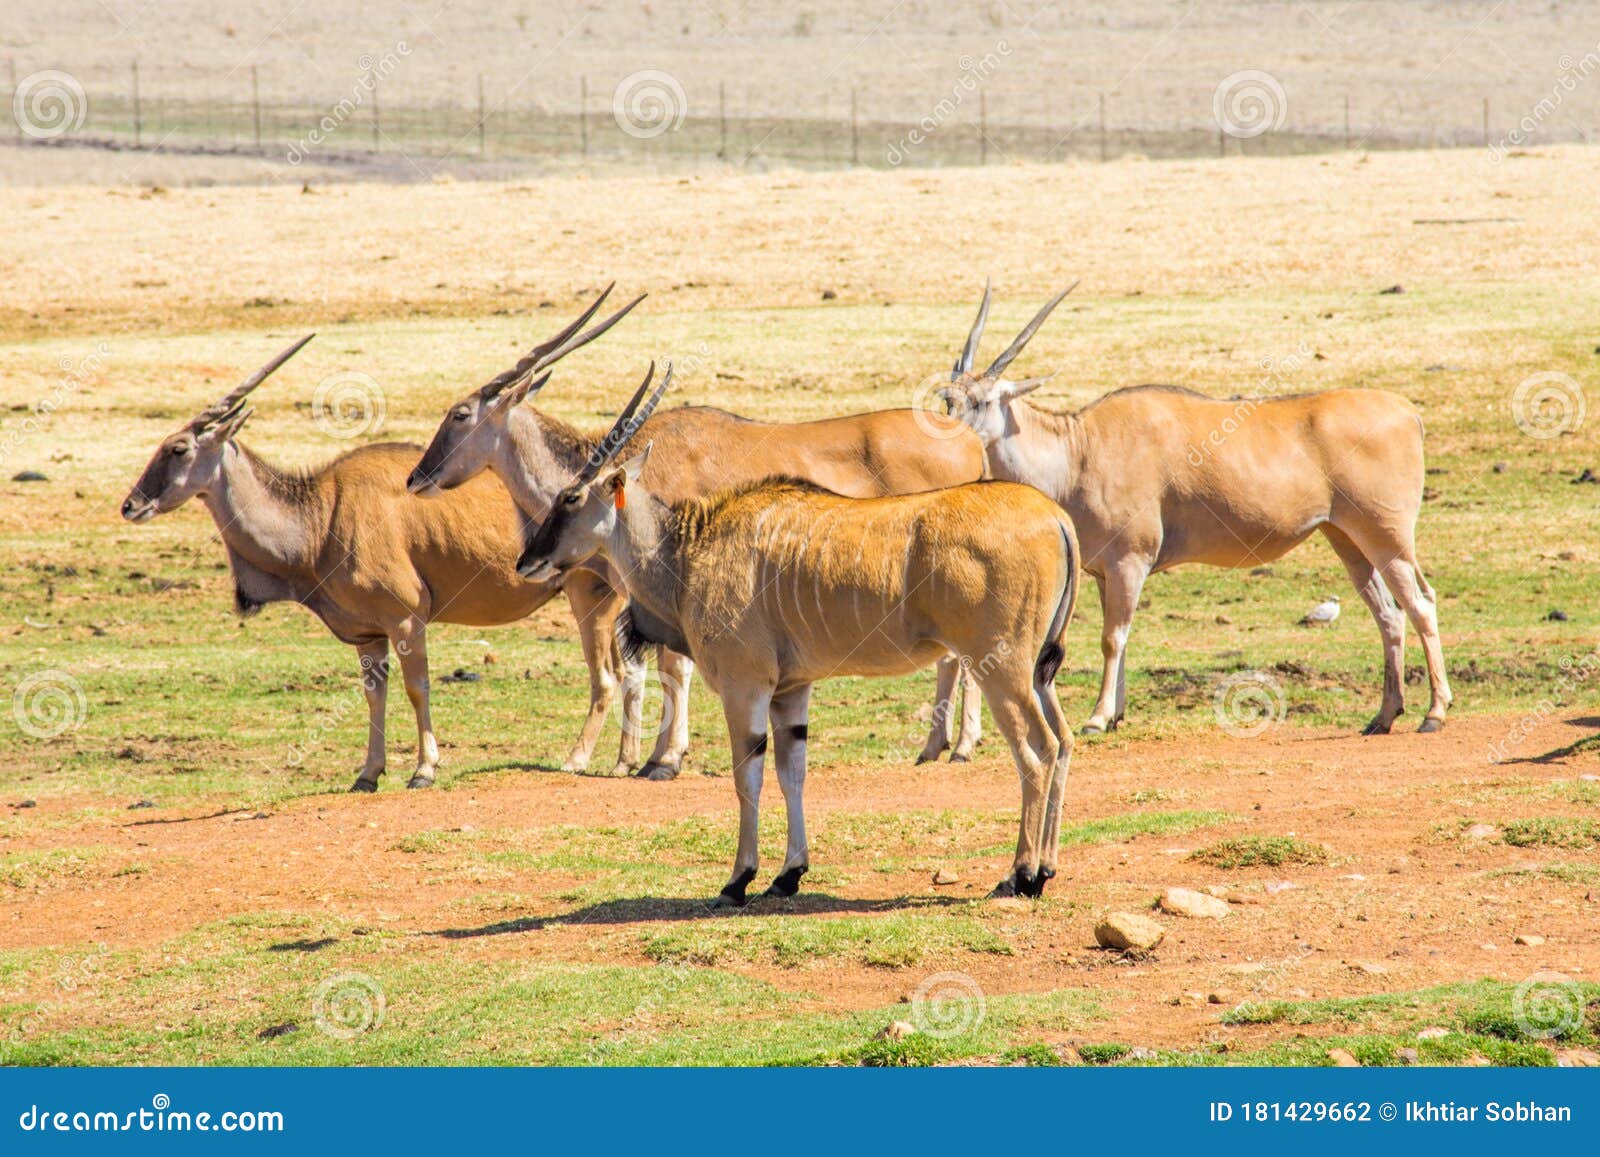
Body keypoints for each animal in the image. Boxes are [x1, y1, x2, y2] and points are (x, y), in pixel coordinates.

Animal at [119, 299, 644, 791]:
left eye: (178, 449)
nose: (131, 504)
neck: (323, 516)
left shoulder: (406, 620)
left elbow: (417, 687)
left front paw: (424, 769)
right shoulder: (368, 634)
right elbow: (375, 693)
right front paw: (368, 772)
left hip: (590, 601)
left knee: (609, 676)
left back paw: (581, 760)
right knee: (631, 673)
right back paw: (625, 761)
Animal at [406, 293, 989, 778]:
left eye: (460, 414)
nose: (416, 478)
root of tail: (968, 440)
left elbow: (672, 666)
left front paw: (661, 759)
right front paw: (643, 757)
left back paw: (959, 746)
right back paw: (935, 746)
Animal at [517, 364, 1081, 905]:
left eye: (571, 497)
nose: (526, 561)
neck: (689, 548)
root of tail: (1054, 515)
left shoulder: (746, 686)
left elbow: (747, 777)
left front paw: (738, 880)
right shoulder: (791, 691)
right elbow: (794, 774)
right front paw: (788, 874)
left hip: (1000, 668)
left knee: (1037, 750)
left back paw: (1020, 876)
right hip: (1037, 674)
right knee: (1064, 740)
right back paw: (1048, 867)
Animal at [938, 284, 1451, 736]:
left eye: (982, 400)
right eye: (949, 399)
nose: (949, 438)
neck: (1078, 450)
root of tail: (1408, 413)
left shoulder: (1129, 562)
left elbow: (1112, 638)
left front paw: (1098, 718)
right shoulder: (1107, 573)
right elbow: (1121, 638)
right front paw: (1117, 714)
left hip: (1387, 535)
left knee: (1421, 602)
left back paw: (1434, 712)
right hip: (1347, 539)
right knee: (1388, 614)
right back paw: (1384, 715)